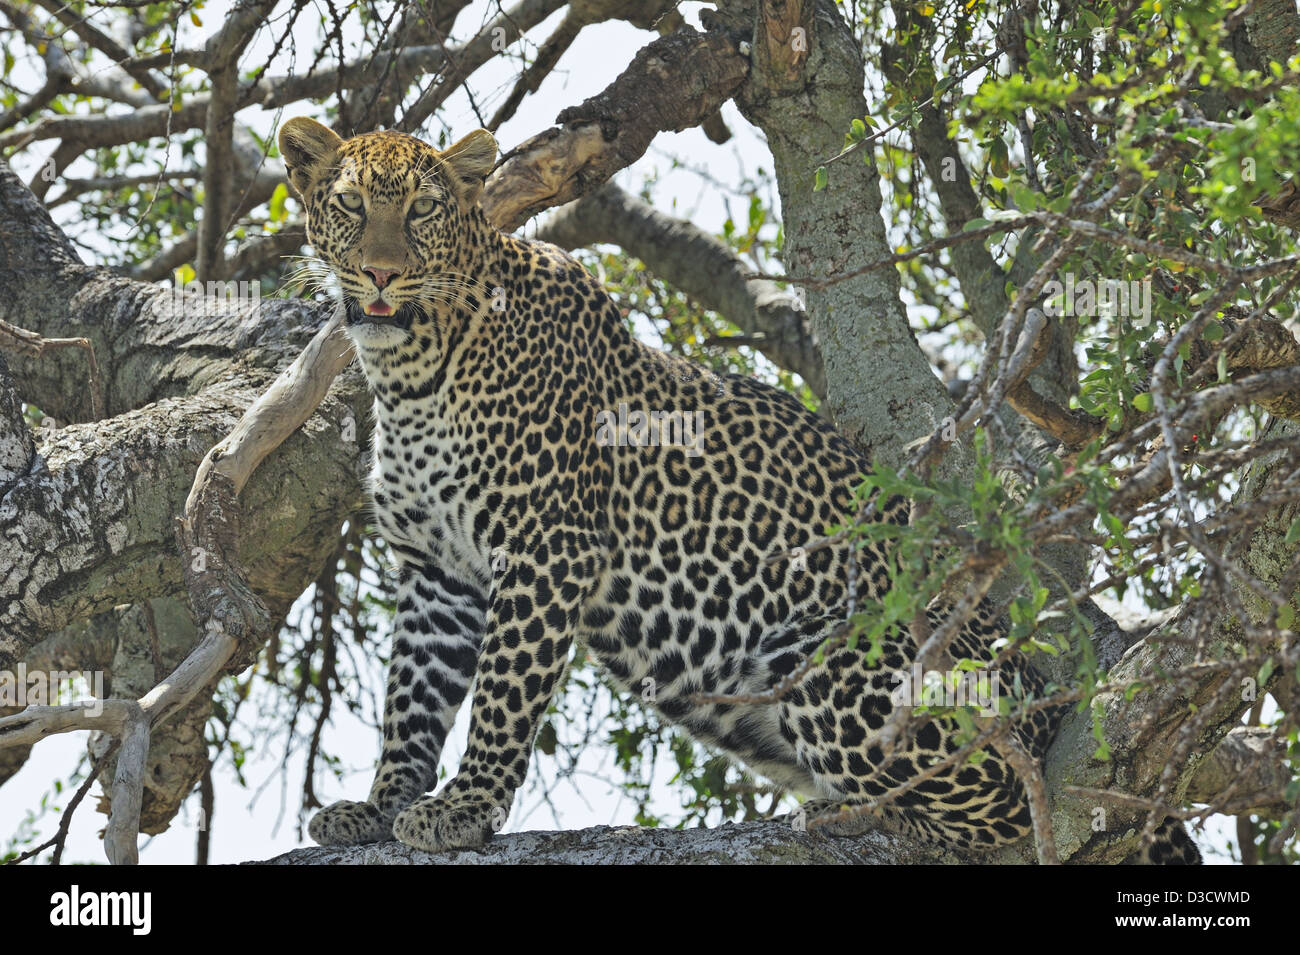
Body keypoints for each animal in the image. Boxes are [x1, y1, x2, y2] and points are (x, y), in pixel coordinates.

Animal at [276, 116, 1200, 864]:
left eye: (422, 212)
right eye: (350, 206)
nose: (381, 274)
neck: (413, 369)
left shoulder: (546, 549)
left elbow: (503, 693)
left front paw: (465, 808)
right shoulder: (437, 570)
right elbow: (412, 698)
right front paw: (380, 806)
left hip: (841, 659)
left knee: (1013, 804)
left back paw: (855, 816)